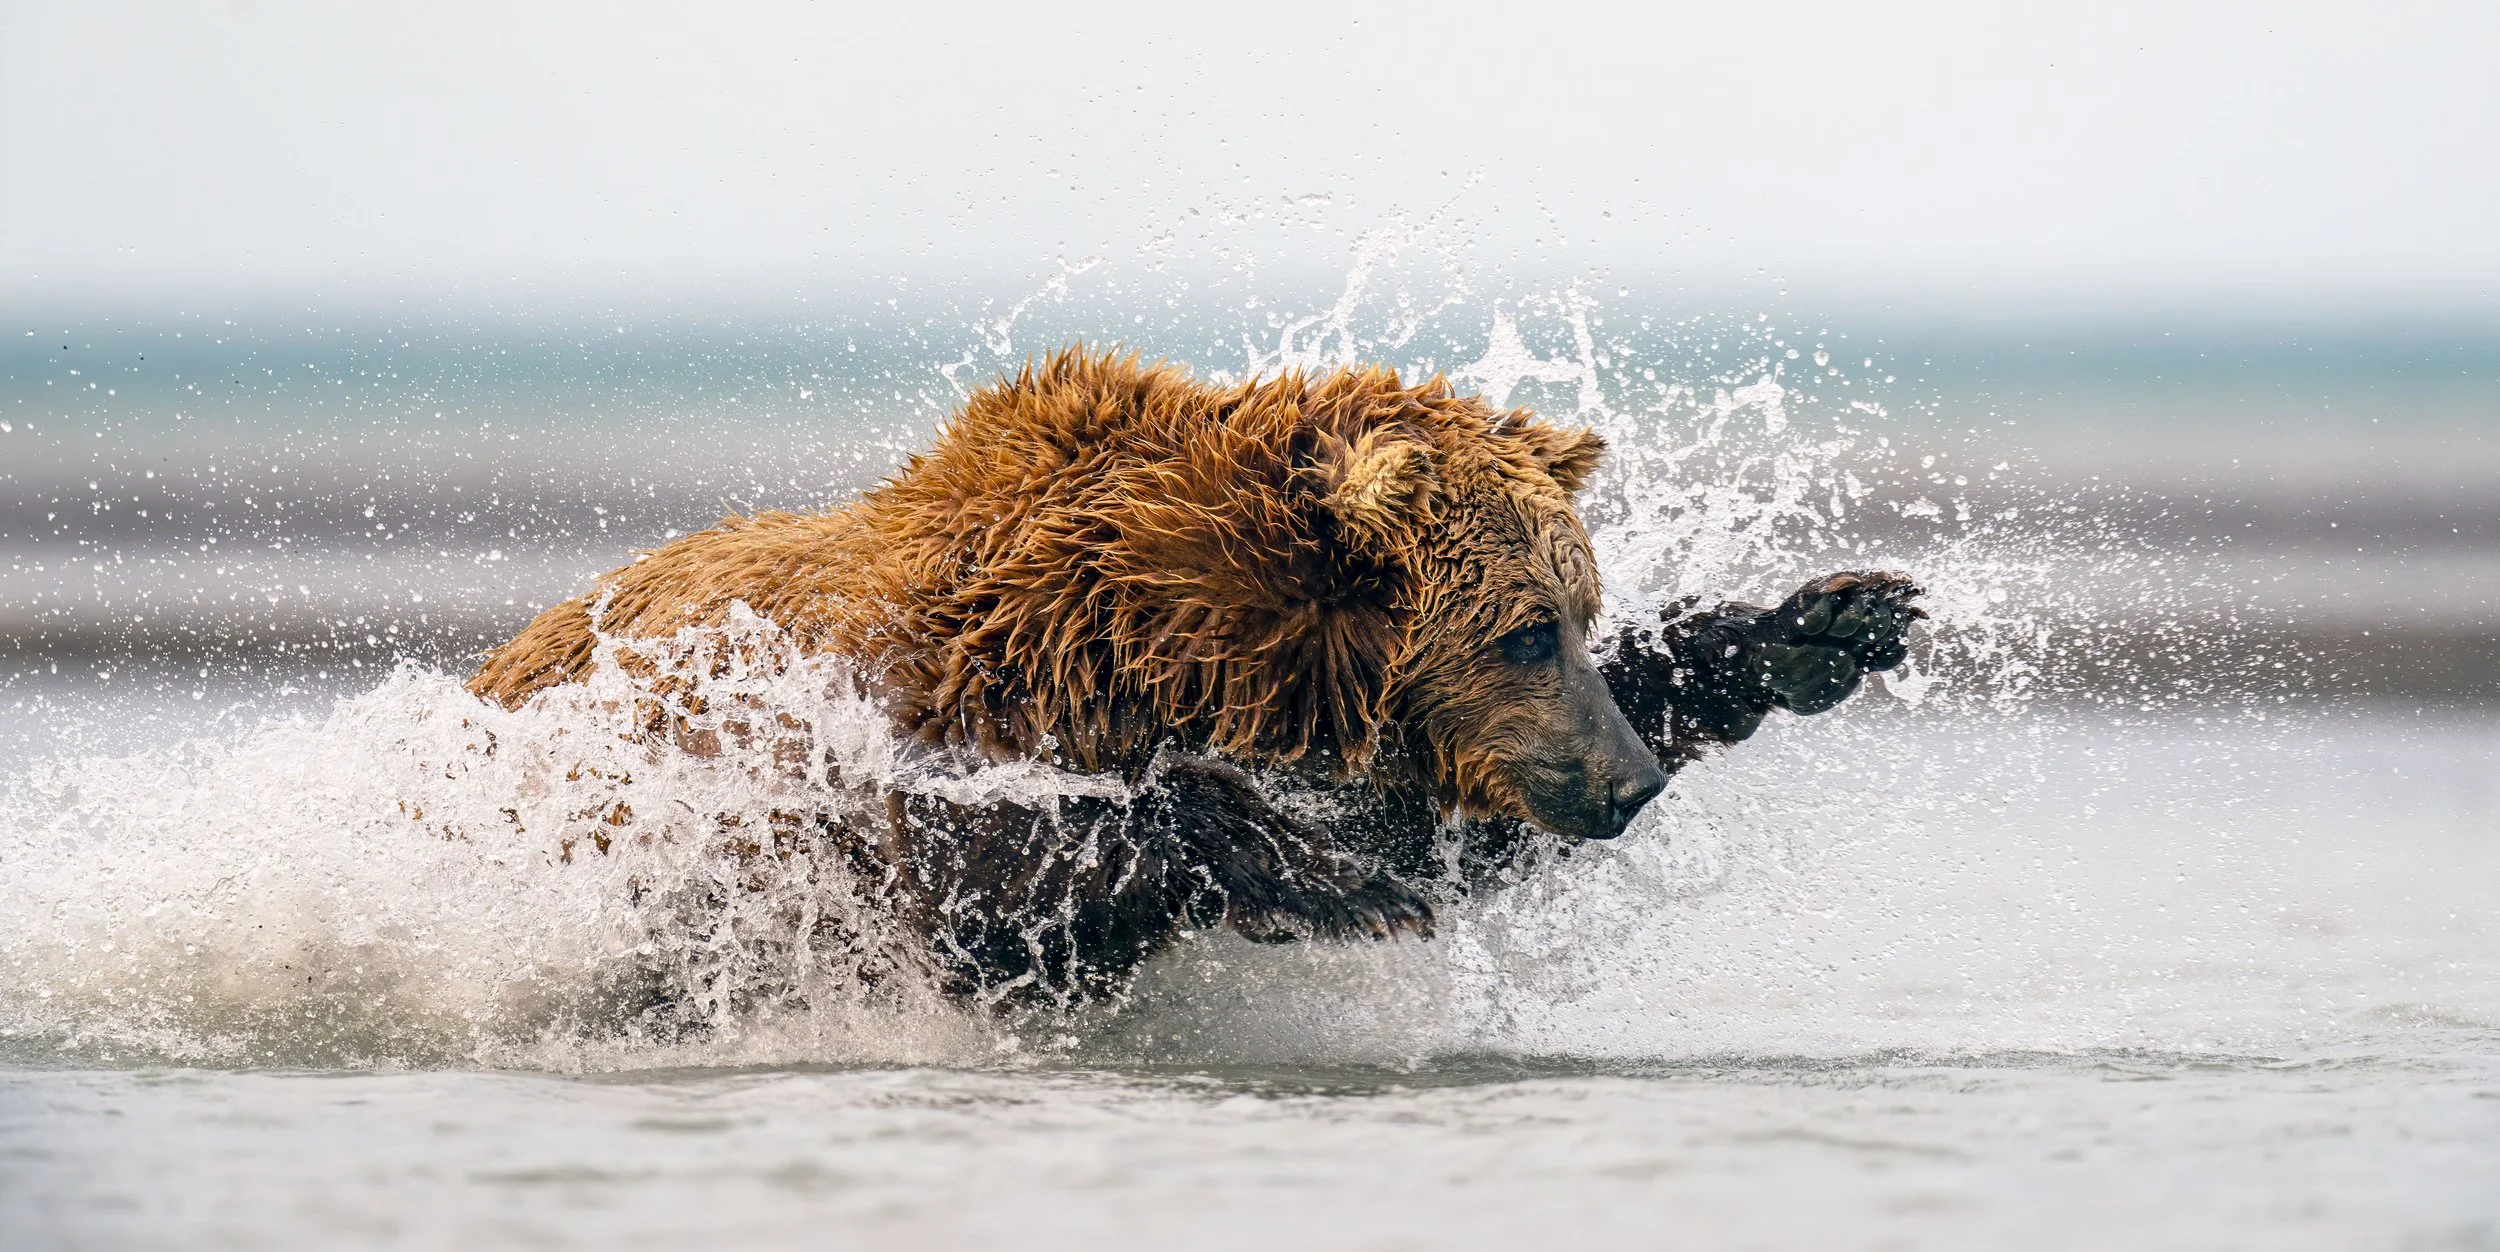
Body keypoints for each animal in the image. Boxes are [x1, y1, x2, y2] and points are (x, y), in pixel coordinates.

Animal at [469, 346, 1922, 1009]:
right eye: (1522, 631)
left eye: (1579, 611)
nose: (1625, 783)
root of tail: (490, 666)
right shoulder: (938, 716)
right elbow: (1008, 871)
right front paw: (1341, 884)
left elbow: (1450, 830)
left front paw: (1826, 622)